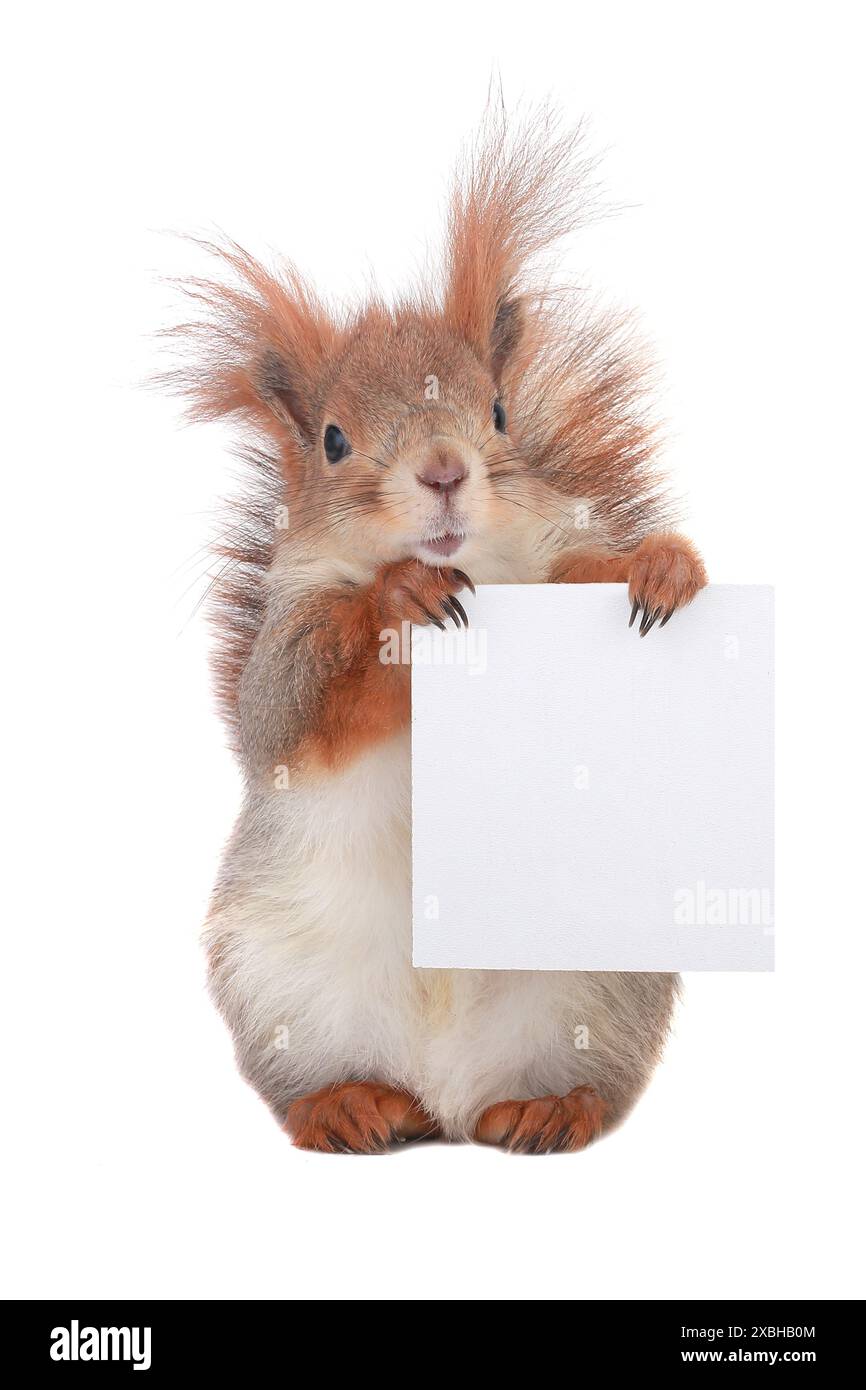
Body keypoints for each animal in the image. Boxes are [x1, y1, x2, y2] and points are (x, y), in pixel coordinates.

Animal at [166, 109, 707, 1154]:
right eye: (333, 440)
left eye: (497, 411)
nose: (446, 470)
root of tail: (451, 1097)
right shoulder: (287, 648)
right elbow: (289, 709)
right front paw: (400, 598)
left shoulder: (543, 578)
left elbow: (597, 574)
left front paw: (662, 563)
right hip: (273, 984)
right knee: (312, 1084)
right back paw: (350, 1105)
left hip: (609, 987)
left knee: (582, 1083)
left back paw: (548, 1107)